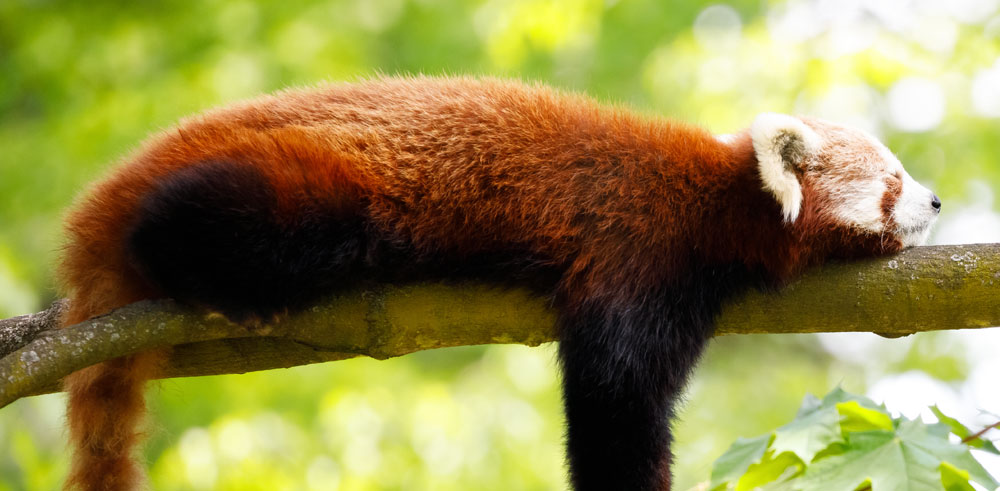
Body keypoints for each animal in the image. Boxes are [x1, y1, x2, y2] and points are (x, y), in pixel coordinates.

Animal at [58, 76, 940, 490]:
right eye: (894, 177)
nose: (935, 201)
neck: (718, 199)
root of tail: (101, 205)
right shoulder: (640, 254)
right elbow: (616, 396)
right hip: (308, 187)